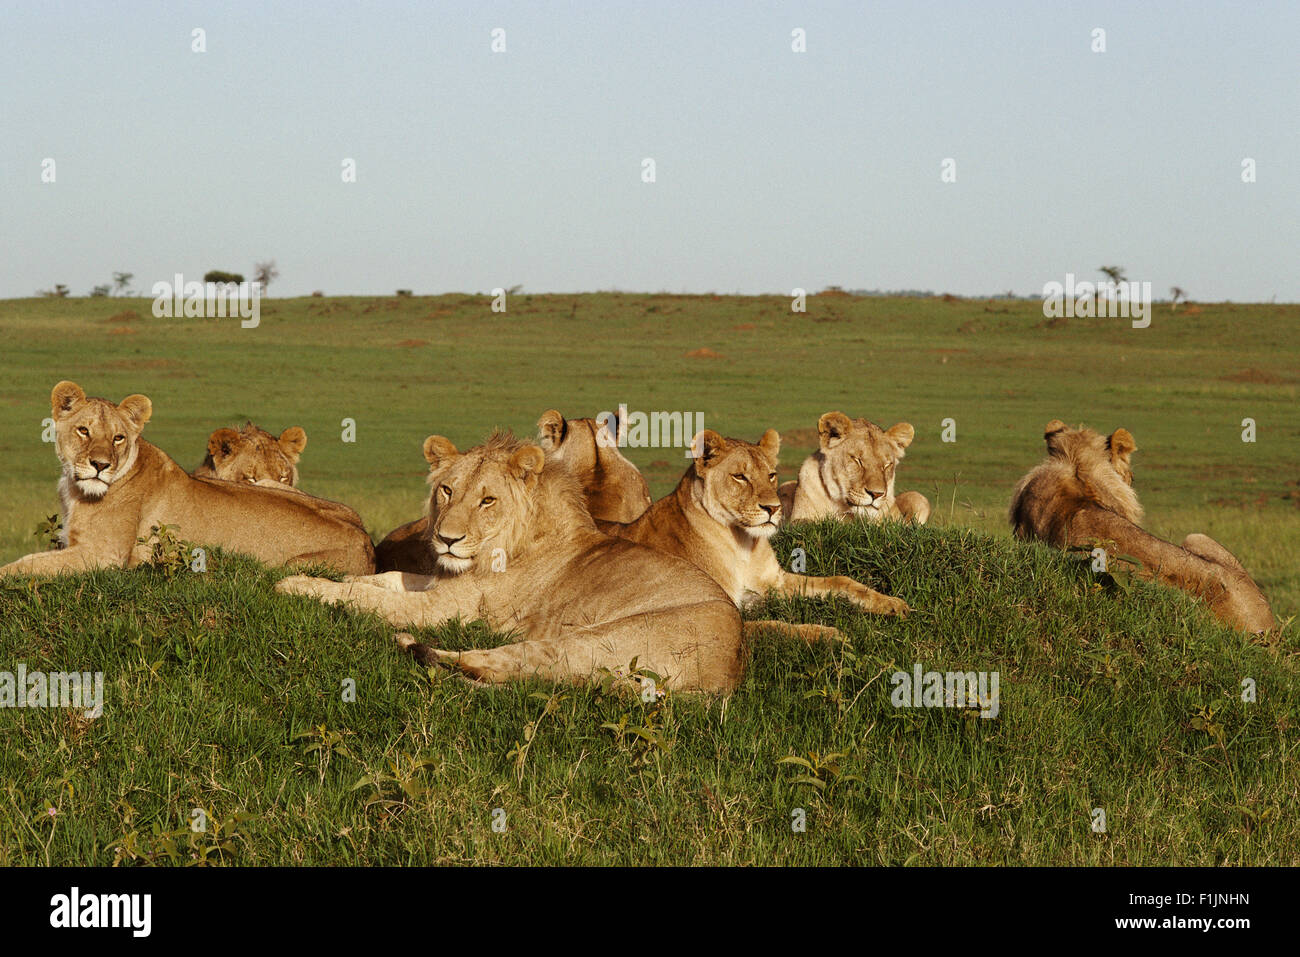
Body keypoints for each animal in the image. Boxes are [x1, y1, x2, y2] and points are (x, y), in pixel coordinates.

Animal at [0, 382, 375, 578]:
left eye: (118, 438)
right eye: (83, 430)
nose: (100, 465)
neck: (75, 489)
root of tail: (366, 542)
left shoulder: (104, 555)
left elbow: (23, 565)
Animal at [276, 431, 743, 693]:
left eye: (487, 500)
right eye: (447, 490)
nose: (446, 539)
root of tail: (725, 675)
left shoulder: (444, 608)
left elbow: (369, 600)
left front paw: (295, 584)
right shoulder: (435, 584)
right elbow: (383, 578)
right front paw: (337, 576)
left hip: (591, 640)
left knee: (513, 668)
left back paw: (411, 644)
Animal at [598, 429, 909, 639]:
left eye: (771, 475)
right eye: (740, 477)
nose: (773, 508)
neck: (742, 544)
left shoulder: (773, 583)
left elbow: (840, 581)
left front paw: (891, 603)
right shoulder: (720, 613)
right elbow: (777, 627)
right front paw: (830, 634)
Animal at [779, 412, 931, 525]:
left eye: (887, 465)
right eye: (857, 460)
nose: (876, 494)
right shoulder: (798, 518)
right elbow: (805, 522)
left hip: (919, 497)